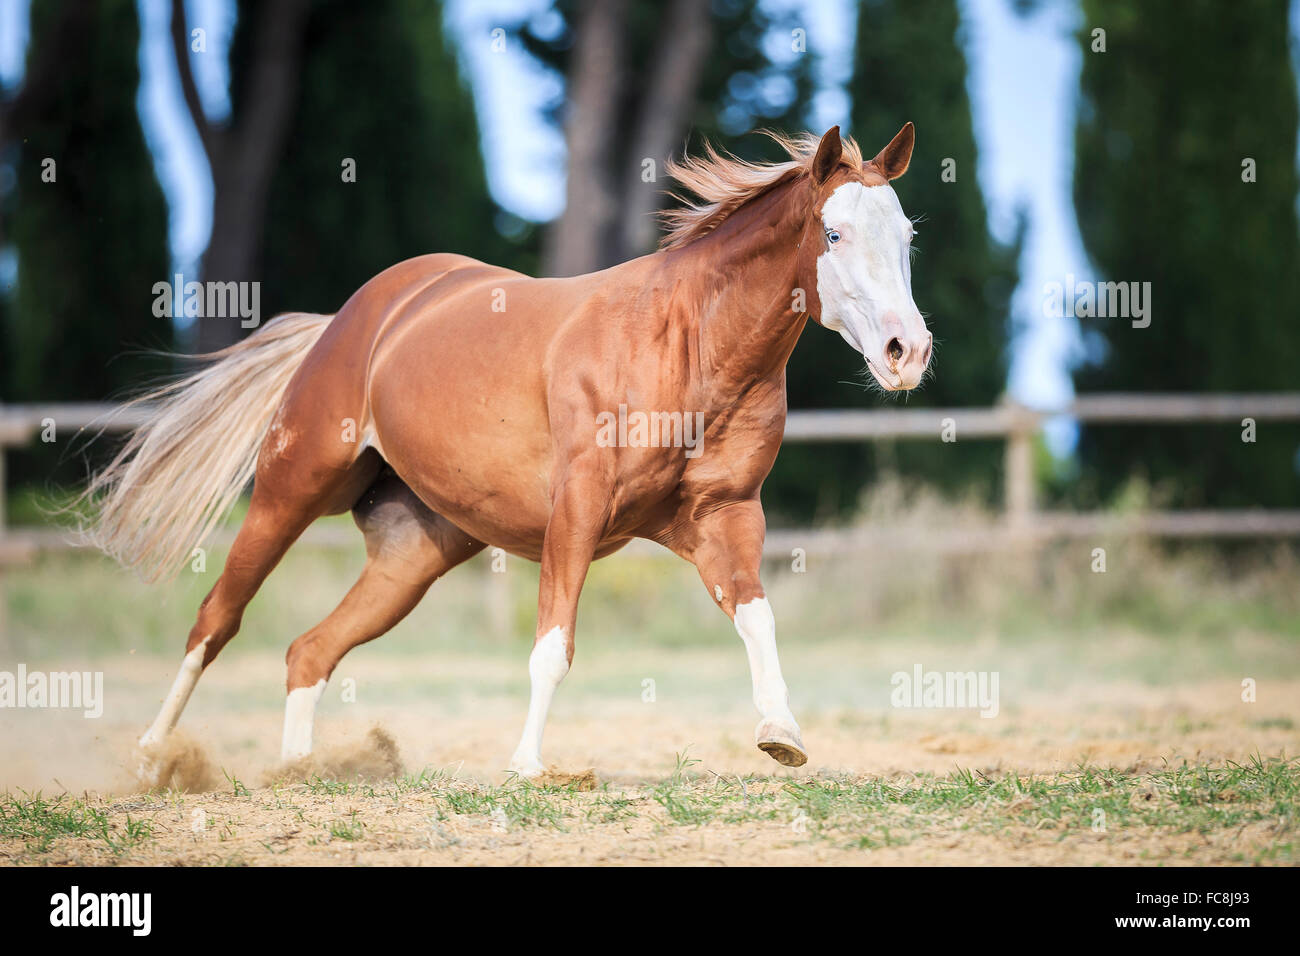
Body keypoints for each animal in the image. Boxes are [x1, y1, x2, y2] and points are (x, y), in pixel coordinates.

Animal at [83, 123, 929, 777]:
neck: (685, 344)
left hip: (412, 554)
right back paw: (154, 757)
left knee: (309, 651)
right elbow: (554, 642)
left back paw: (299, 772)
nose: (907, 351)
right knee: (216, 621)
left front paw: (781, 733)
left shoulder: (724, 517)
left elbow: (757, 616)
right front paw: (527, 764)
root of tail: (348, 320)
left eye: (908, 237)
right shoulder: (578, 510)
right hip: (291, 490)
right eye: (834, 233)